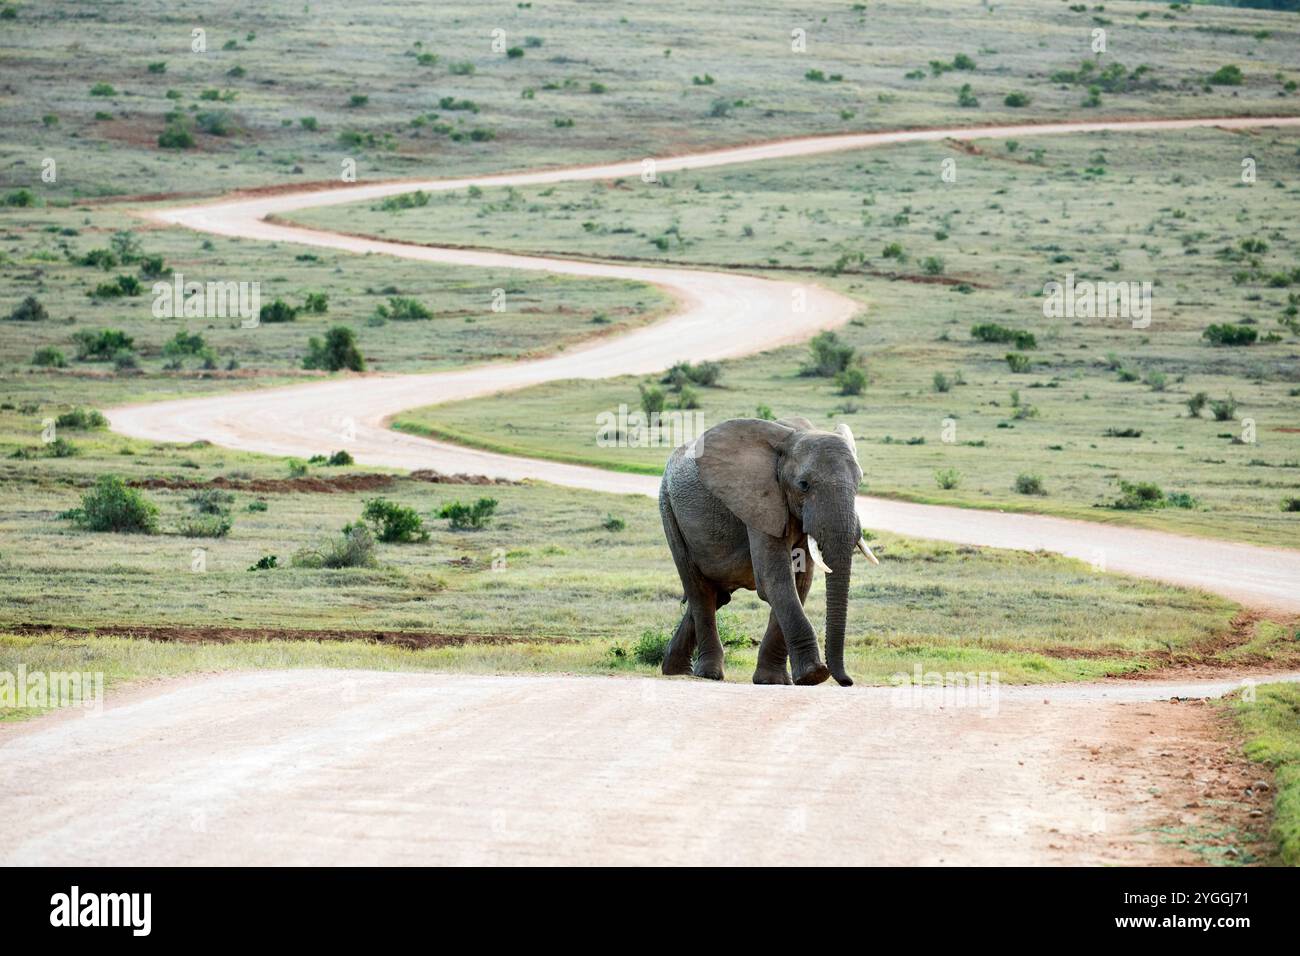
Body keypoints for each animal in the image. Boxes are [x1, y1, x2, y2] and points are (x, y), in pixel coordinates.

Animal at [658, 416, 877, 687]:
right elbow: (775, 580)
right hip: (668, 508)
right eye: (803, 485)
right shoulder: (759, 501)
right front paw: (814, 675)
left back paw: (675, 669)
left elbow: (800, 582)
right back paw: (708, 674)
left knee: (717, 595)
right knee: (700, 590)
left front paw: (775, 680)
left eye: (859, 483)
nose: (847, 681)